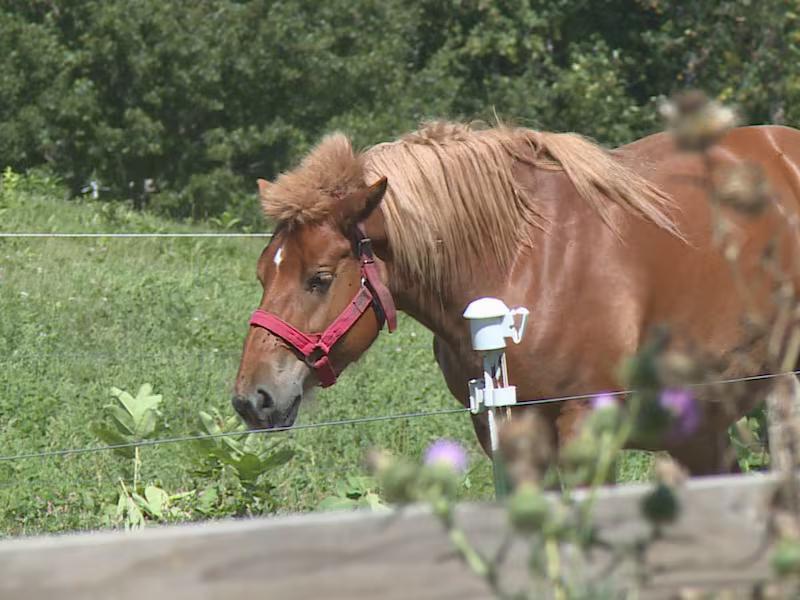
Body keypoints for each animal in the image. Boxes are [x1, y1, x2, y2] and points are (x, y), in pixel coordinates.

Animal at [232, 120, 800, 476]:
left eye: (320, 278)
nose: (250, 398)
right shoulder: (505, 431)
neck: (517, 262)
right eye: (261, 272)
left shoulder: (586, 426)